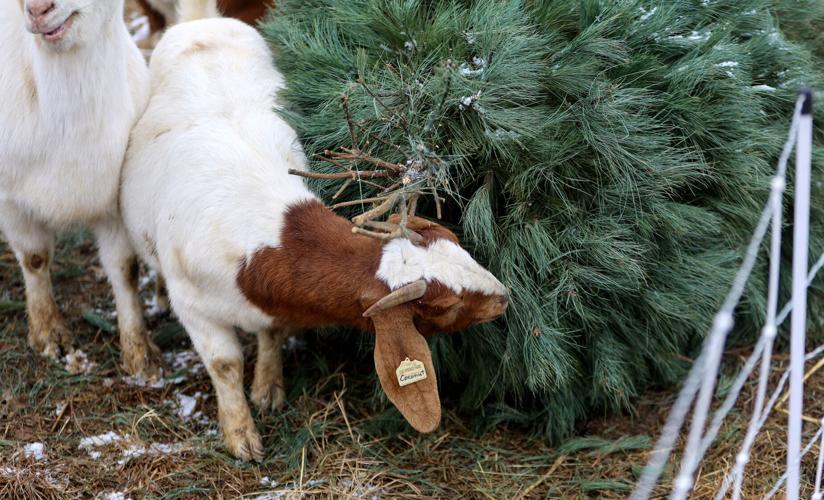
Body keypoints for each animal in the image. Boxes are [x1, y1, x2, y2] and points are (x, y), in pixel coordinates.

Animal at [0, 0, 163, 378]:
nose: (37, 10)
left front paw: (140, 355)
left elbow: (125, 270)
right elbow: (35, 259)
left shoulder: (113, 200)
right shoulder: (11, 202)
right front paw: (50, 336)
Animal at [121, 2, 508, 460]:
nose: (503, 297)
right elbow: (225, 365)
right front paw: (240, 434)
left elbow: (272, 332)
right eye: (445, 305)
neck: (269, 237)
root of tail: (202, 23)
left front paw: (268, 387)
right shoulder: (196, 307)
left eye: (459, 246)